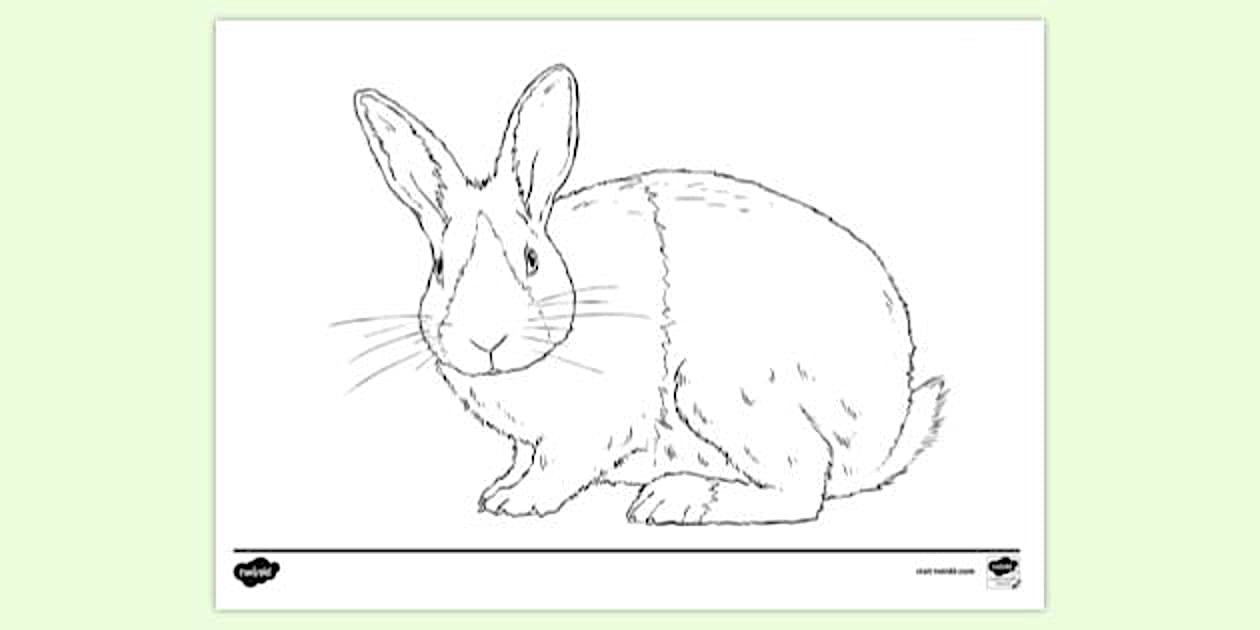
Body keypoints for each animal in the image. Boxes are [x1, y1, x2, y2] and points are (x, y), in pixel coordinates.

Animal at [351, 64, 946, 525]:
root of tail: (888, 426)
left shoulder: (591, 427)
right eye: (440, 268)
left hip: (718, 390)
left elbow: (556, 467)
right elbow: (524, 456)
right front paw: (499, 489)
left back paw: (675, 501)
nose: (486, 340)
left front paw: (518, 502)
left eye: (531, 260)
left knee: (800, 485)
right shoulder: (529, 438)